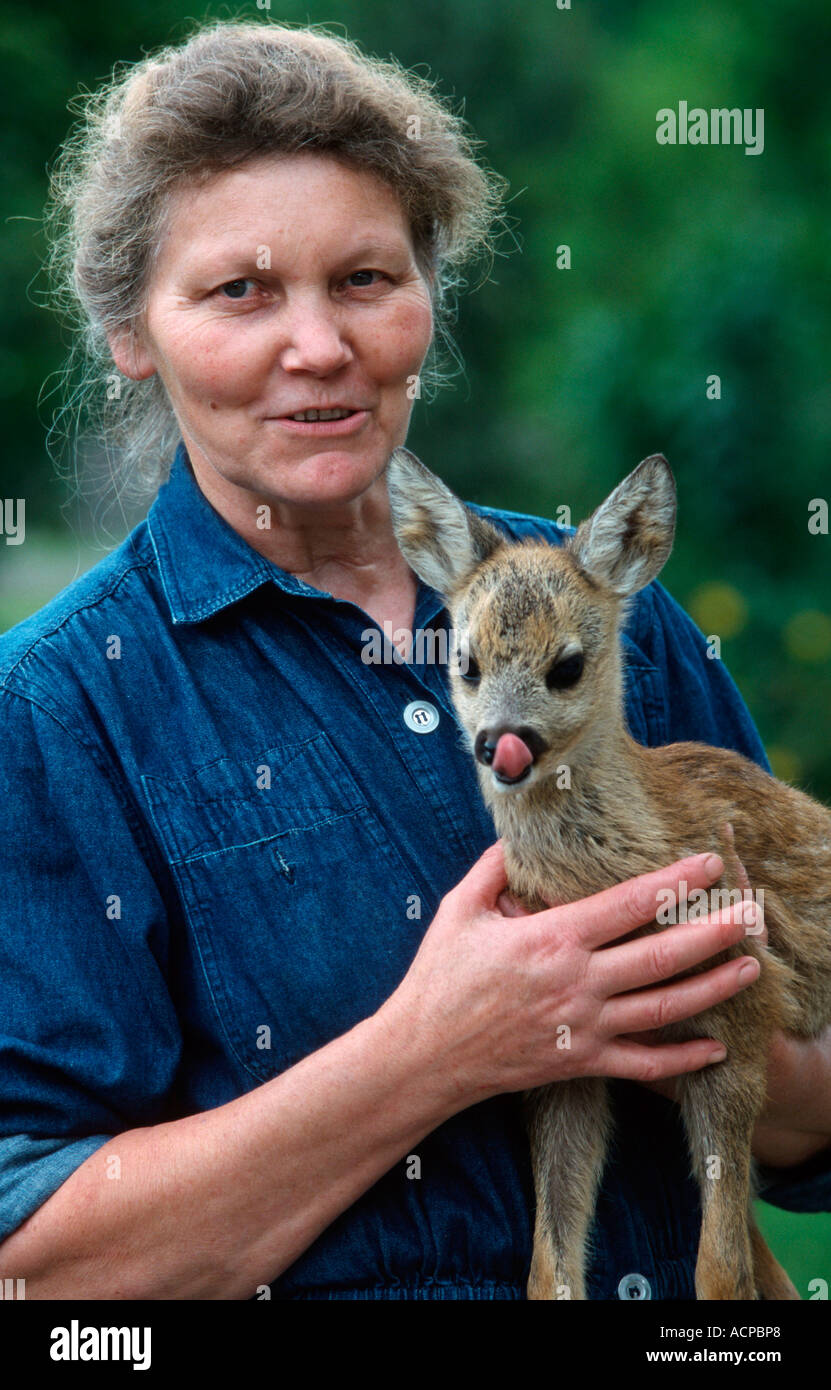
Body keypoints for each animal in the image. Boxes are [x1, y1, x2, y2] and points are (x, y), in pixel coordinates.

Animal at [387, 446, 831, 1301]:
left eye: (567, 666)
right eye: (465, 663)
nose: (500, 744)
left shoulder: (743, 1004)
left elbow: (718, 1269)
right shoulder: (561, 1054)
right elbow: (550, 1265)